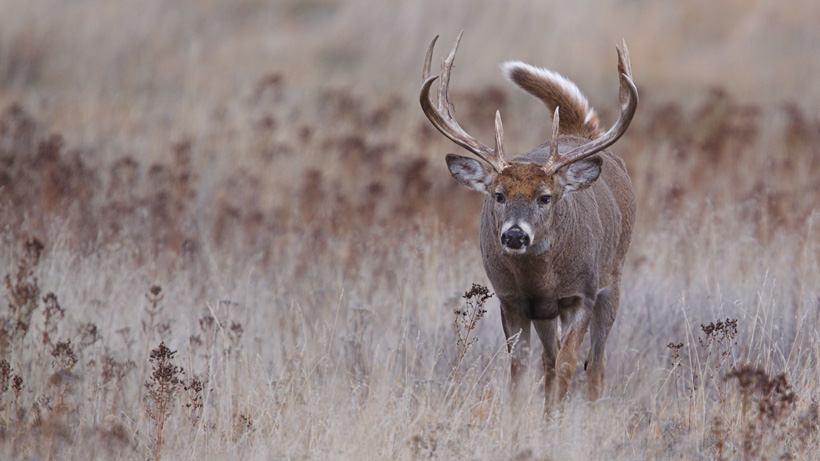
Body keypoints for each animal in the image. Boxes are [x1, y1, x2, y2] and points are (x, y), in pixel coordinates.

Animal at [420, 32, 638, 410]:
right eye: (498, 195)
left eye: (545, 197)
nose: (515, 236)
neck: (539, 281)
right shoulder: (511, 300)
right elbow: (521, 370)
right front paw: (522, 421)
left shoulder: (582, 294)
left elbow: (568, 364)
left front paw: (557, 422)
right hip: (547, 313)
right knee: (549, 360)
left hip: (614, 276)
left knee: (596, 364)